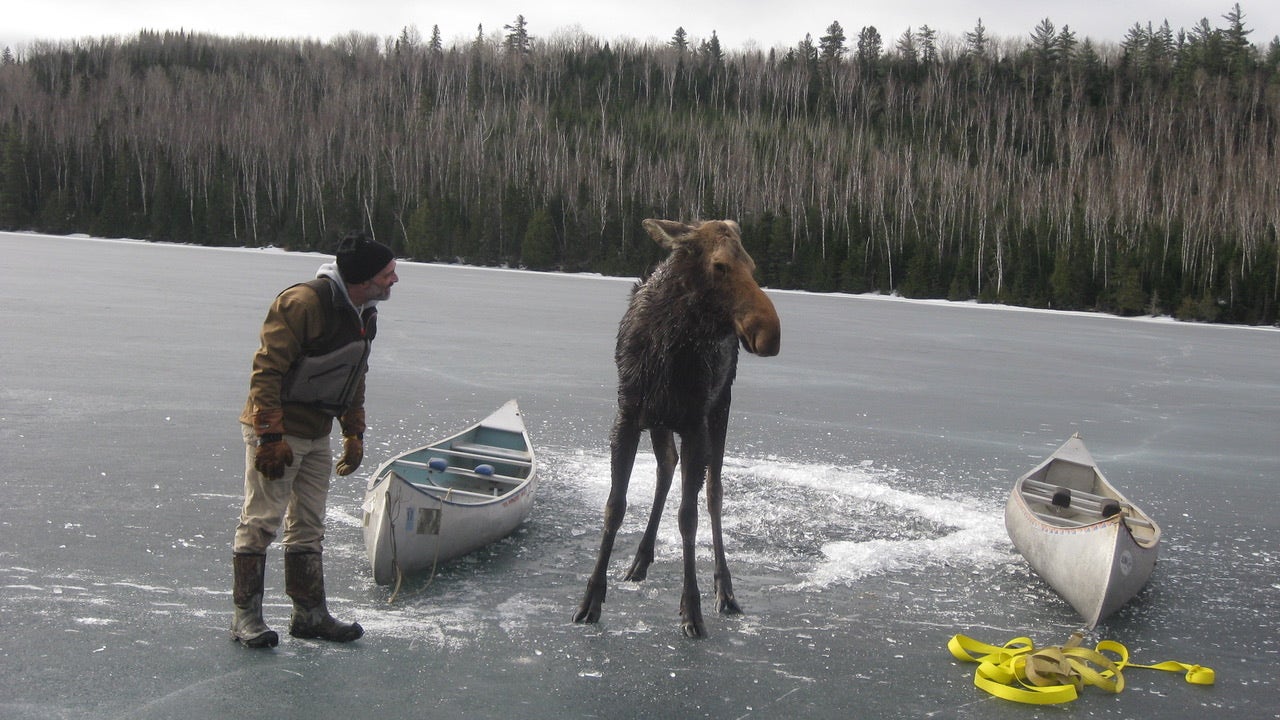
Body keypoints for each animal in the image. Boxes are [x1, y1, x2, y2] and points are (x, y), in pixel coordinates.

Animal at [573, 218, 782, 638]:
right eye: (720, 265)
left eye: (752, 265)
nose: (769, 332)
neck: (666, 348)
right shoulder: (628, 416)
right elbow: (614, 506)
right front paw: (591, 599)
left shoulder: (695, 423)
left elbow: (689, 516)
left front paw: (691, 610)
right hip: (661, 422)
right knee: (666, 468)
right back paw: (640, 560)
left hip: (719, 407)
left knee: (714, 491)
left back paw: (725, 590)